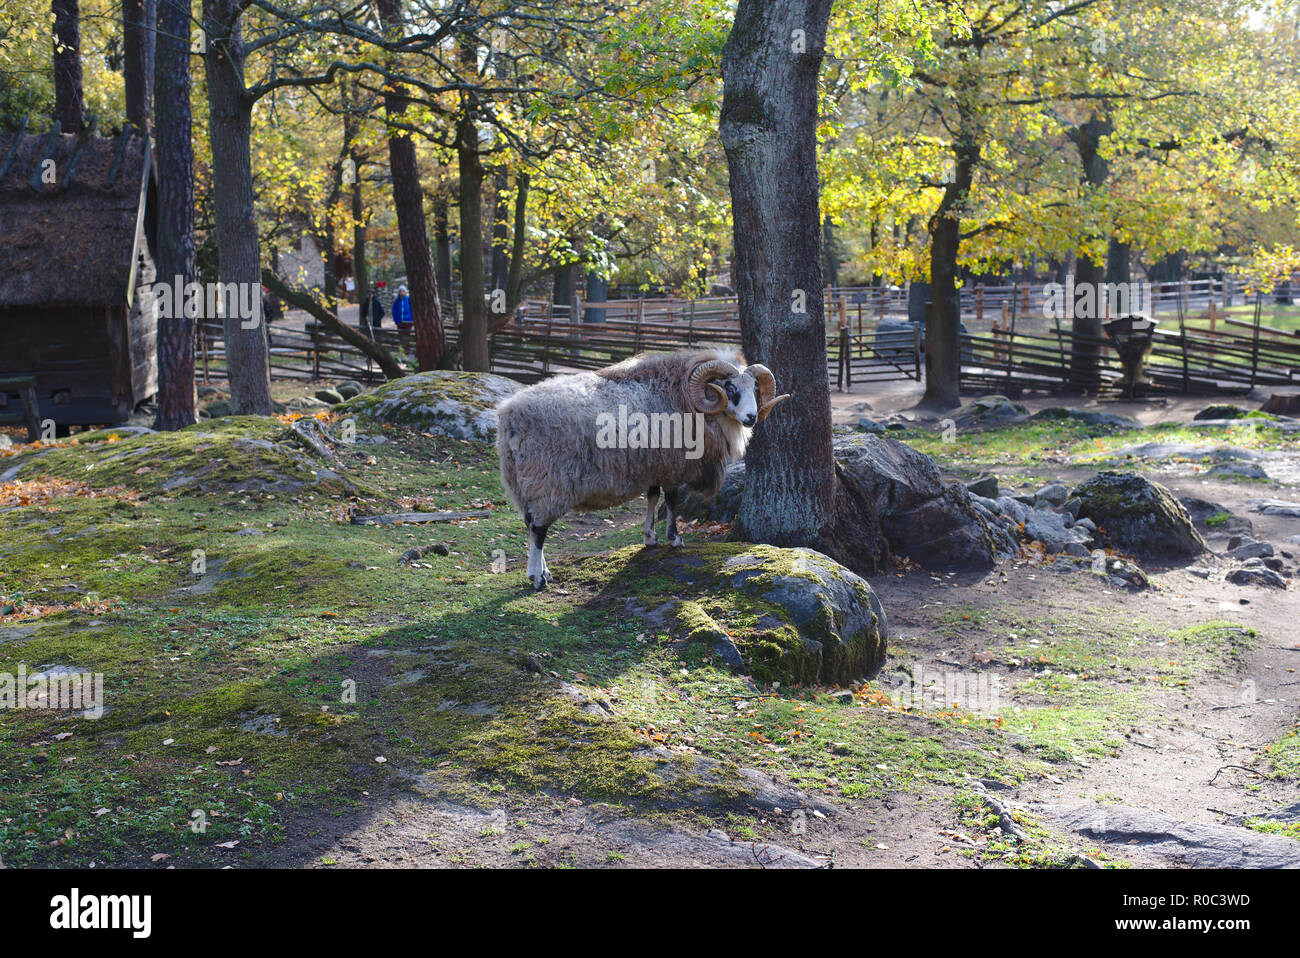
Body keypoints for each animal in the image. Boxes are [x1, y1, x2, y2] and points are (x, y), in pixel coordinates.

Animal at [496, 348, 789, 589]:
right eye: (729, 387)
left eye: (755, 388)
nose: (751, 418)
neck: (685, 398)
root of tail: (509, 414)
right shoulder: (673, 466)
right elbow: (671, 500)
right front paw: (674, 538)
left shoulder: (654, 464)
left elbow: (652, 496)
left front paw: (650, 537)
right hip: (546, 480)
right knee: (539, 529)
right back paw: (536, 577)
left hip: (523, 482)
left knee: (531, 524)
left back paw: (544, 572)